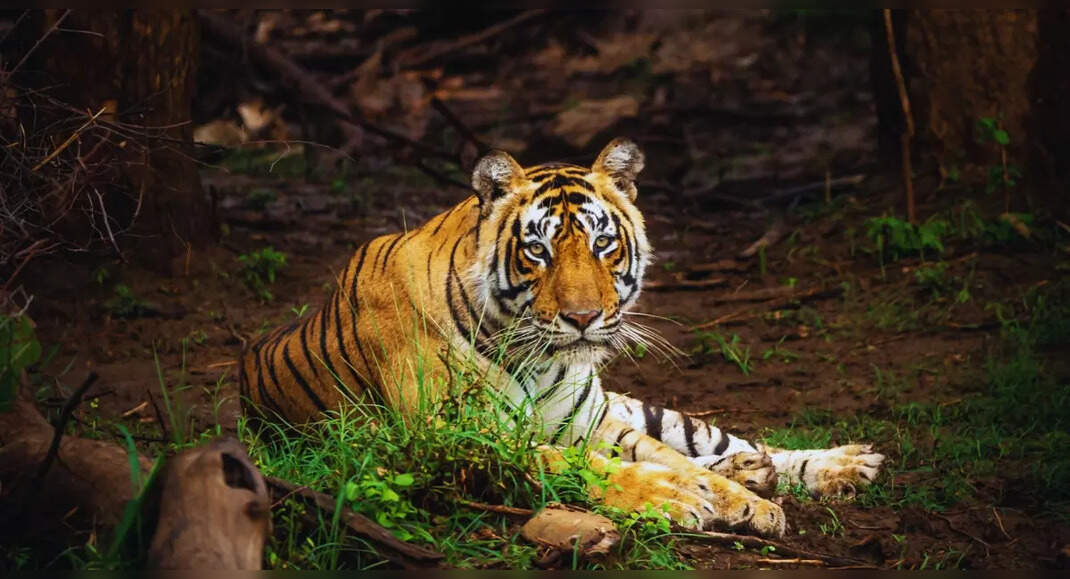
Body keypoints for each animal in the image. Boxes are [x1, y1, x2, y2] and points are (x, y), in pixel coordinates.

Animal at [238, 138, 884, 537]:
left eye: (602, 244)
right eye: (538, 250)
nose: (583, 317)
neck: (540, 359)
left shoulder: (590, 422)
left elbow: (667, 457)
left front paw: (743, 502)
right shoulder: (466, 438)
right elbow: (602, 469)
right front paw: (678, 499)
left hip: (633, 408)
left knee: (719, 439)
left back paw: (838, 464)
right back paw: (757, 472)